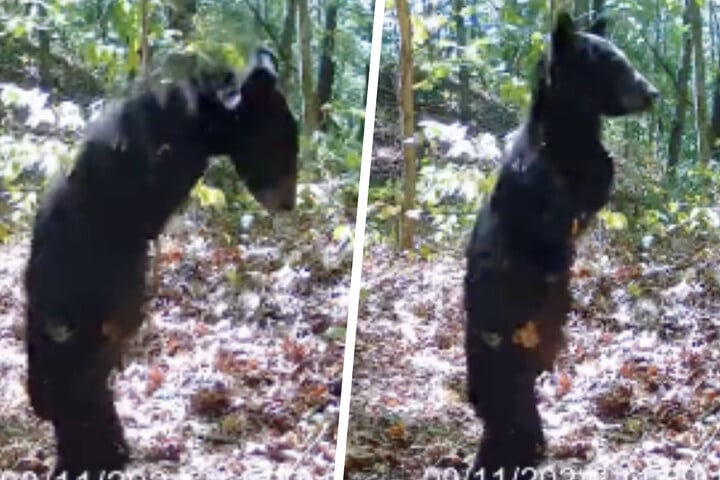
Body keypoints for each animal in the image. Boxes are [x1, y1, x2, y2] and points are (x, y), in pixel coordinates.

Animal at [464, 13, 657, 479]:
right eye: (613, 63)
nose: (652, 93)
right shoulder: (537, 186)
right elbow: (550, 222)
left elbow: (602, 174)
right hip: (504, 359)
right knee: (512, 416)